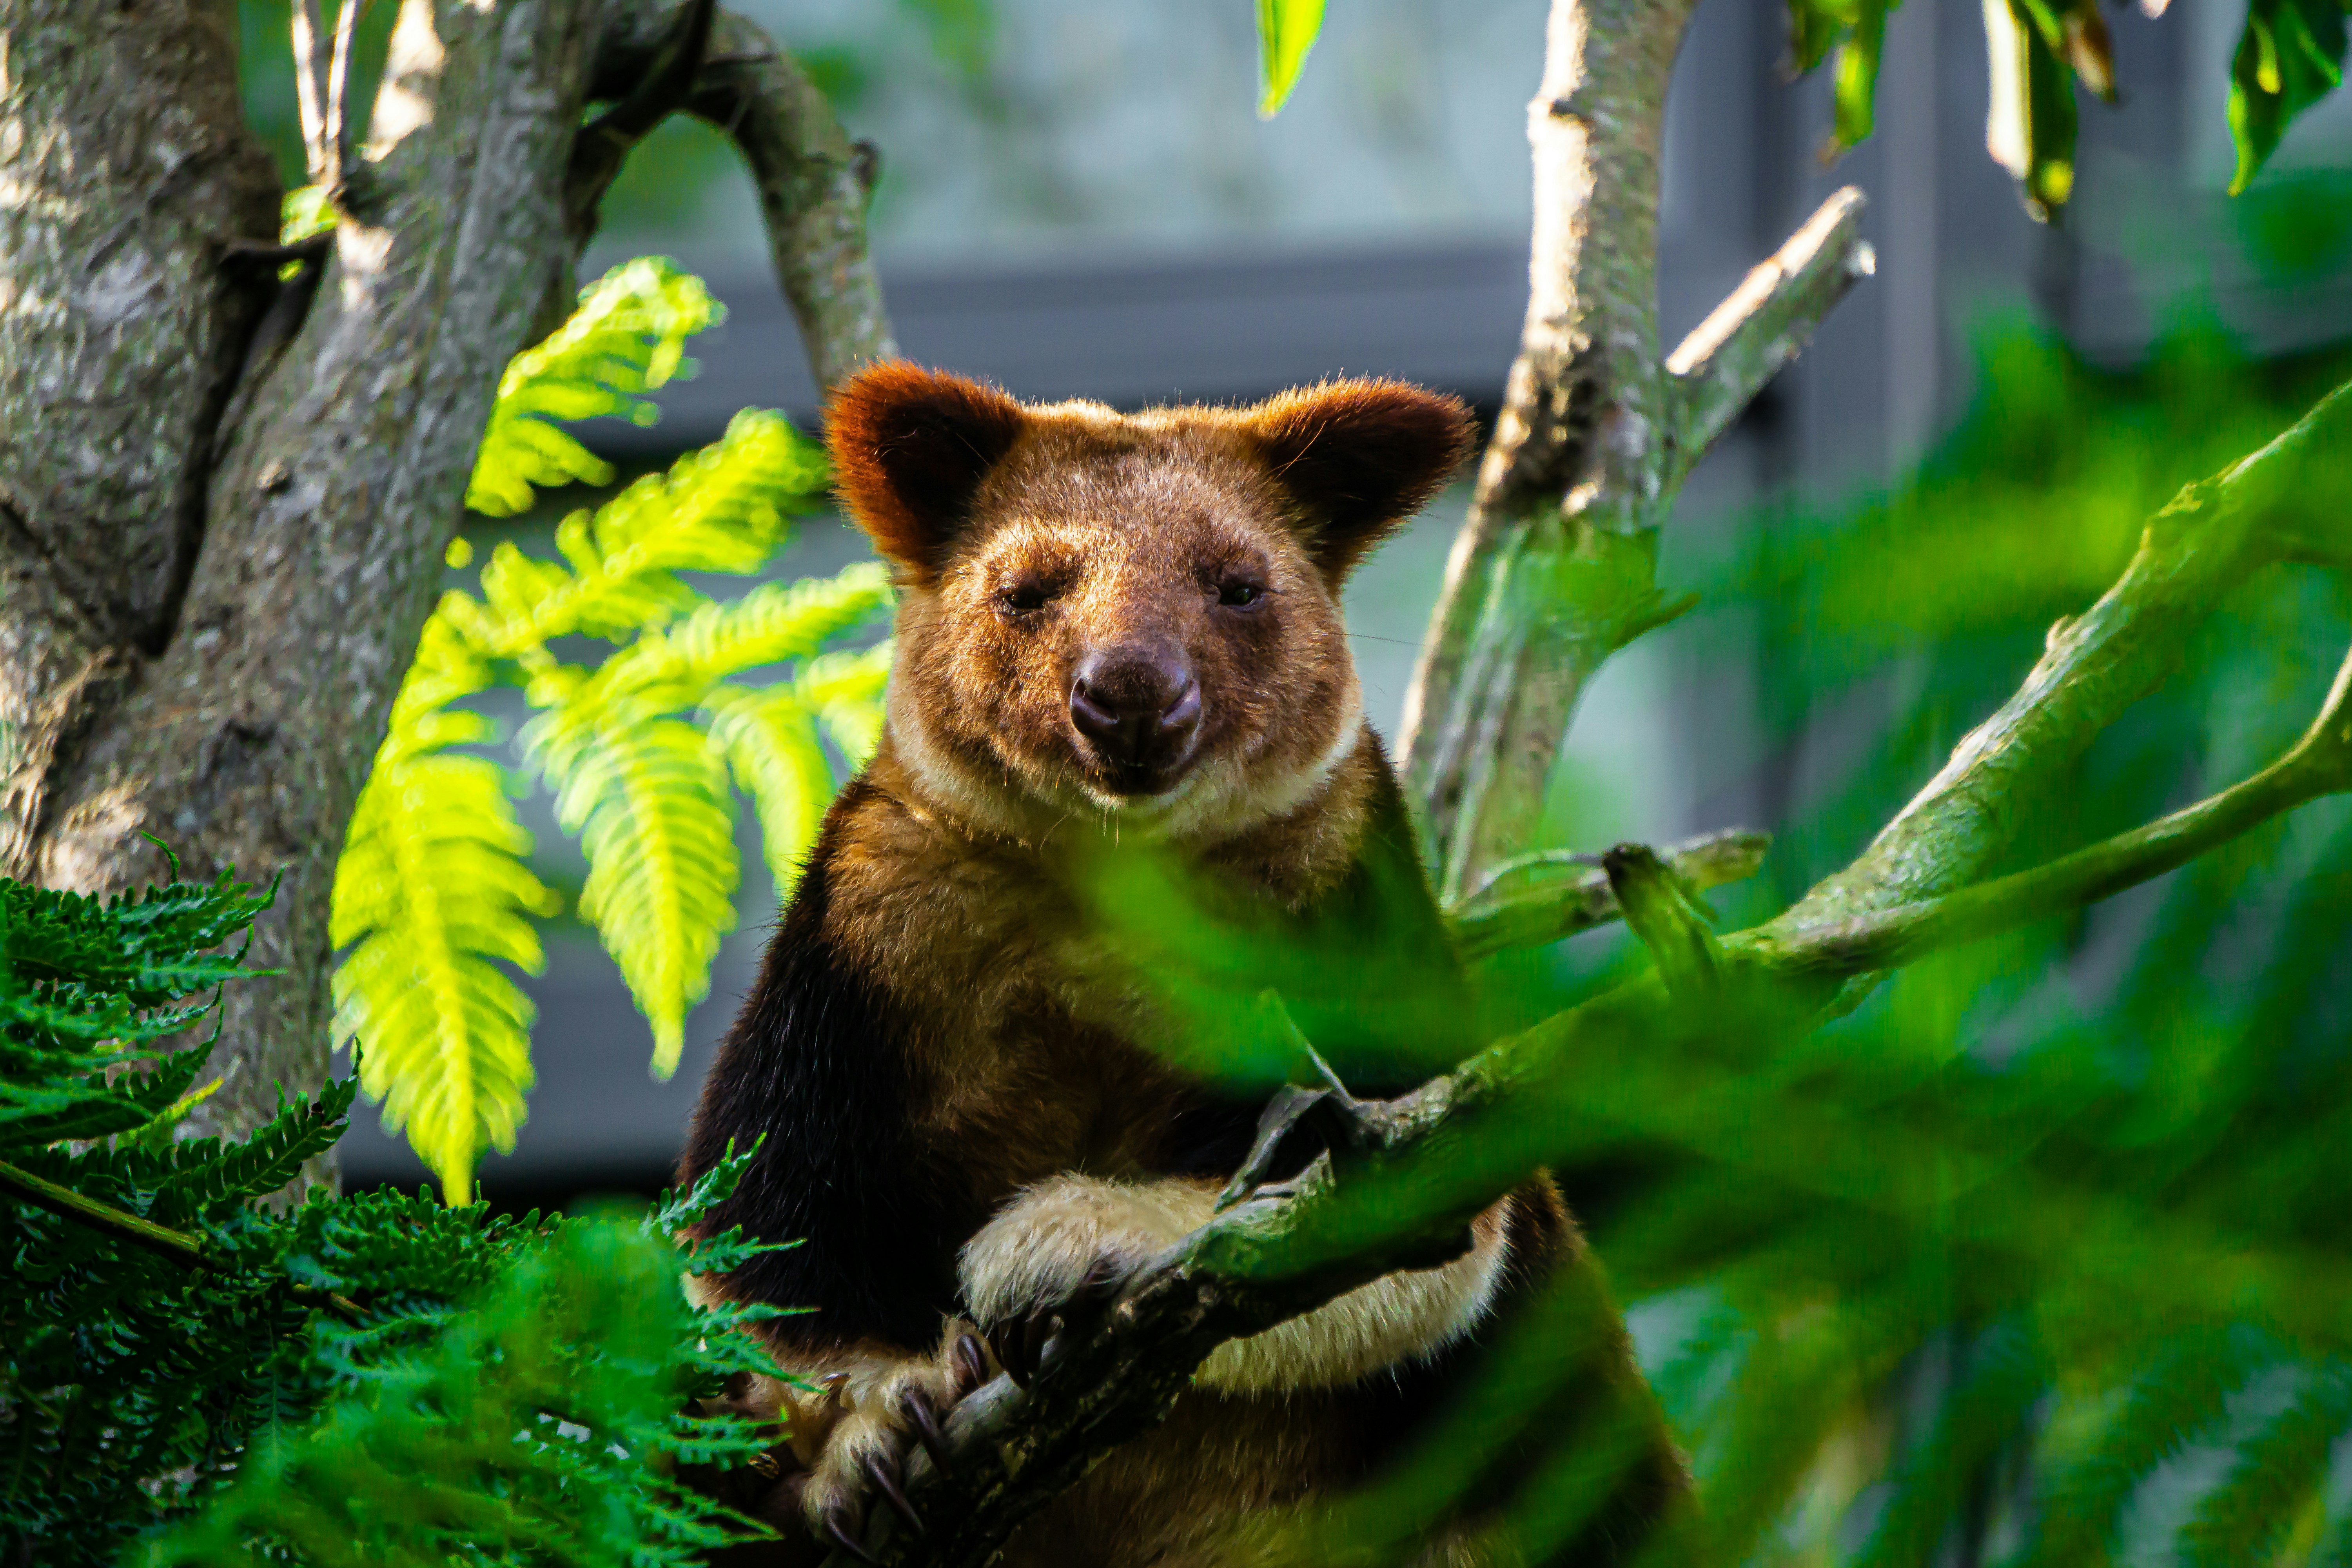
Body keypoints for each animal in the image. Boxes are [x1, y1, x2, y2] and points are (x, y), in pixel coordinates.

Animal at [678, 364, 1684, 1567]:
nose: (1130, 698)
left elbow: (1406, 1216)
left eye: (1239, 587)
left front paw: (1052, 1245)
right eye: (1025, 591)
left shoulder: (1349, 906)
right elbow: (758, 1242)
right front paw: (867, 1430)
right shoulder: (868, 935)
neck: (1114, 873)